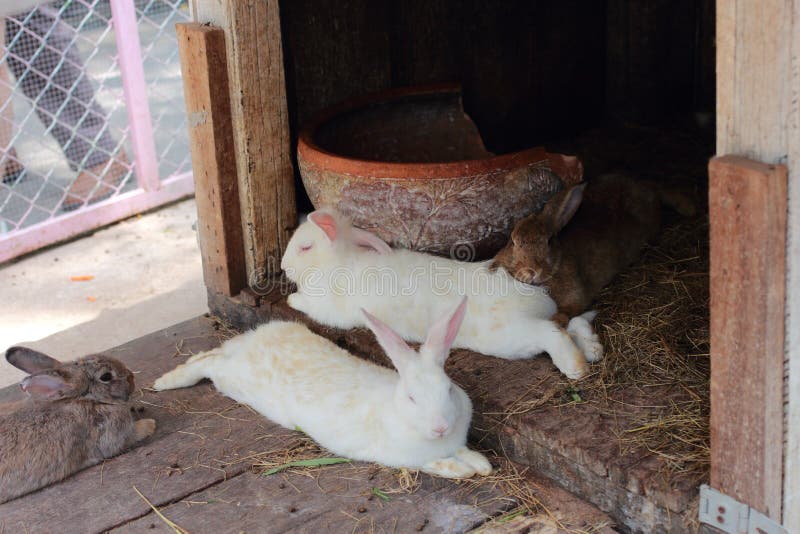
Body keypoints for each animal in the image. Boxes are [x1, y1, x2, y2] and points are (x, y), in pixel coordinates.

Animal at [0, 347, 156, 504]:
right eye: (106, 376)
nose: (131, 377)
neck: (88, 400)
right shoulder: (111, 436)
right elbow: (132, 435)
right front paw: (150, 424)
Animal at [154, 298, 493, 479]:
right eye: (412, 398)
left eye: (448, 390)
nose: (440, 427)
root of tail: (252, 342)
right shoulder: (404, 457)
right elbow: (438, 464)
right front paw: (464, 470)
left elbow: (466, 452)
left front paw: (482, 464)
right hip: (234, 380)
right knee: (208, 365)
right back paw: (164, 382)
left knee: (208, 355)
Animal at [280, 208, 600, 379]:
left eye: (305, 247)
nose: (283, 267)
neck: (338, 262)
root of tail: (537, 298)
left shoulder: (331, 310)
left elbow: (307, 304)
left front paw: (291, 298)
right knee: (570, 324)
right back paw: (592, 350)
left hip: (511, 336)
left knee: (552, 333)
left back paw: (576, 367)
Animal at [492, 173, 673, 321]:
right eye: (513, 241)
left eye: (549, 241)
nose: (531, 270)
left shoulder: (575, 297)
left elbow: (567, 311)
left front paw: (555, 322)